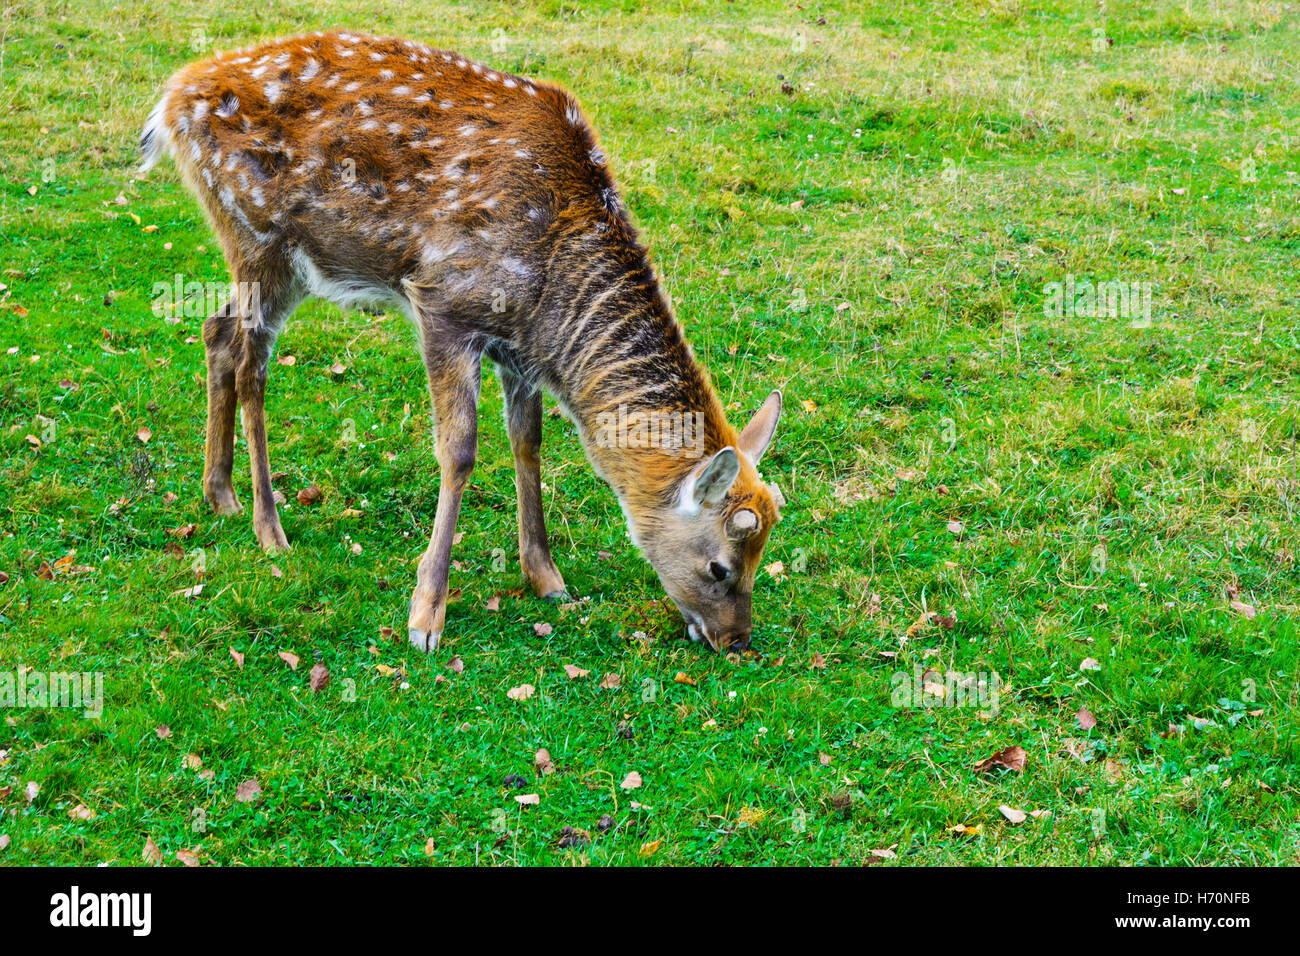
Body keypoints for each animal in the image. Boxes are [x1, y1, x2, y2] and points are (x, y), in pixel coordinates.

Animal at [139, 31, 785, 654]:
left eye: (761, 557)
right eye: (722, 566)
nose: (737, 641)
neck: (551, 304)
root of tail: (171, 98)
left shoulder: (520, 350)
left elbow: (528, 442)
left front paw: (546, 579)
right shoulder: (443, 304)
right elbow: (459, 451)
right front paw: (425, 616)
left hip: (287, 263)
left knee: (217, 329)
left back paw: (219, 494)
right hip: (255, 233)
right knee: (253, 363)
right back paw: (268, 527)